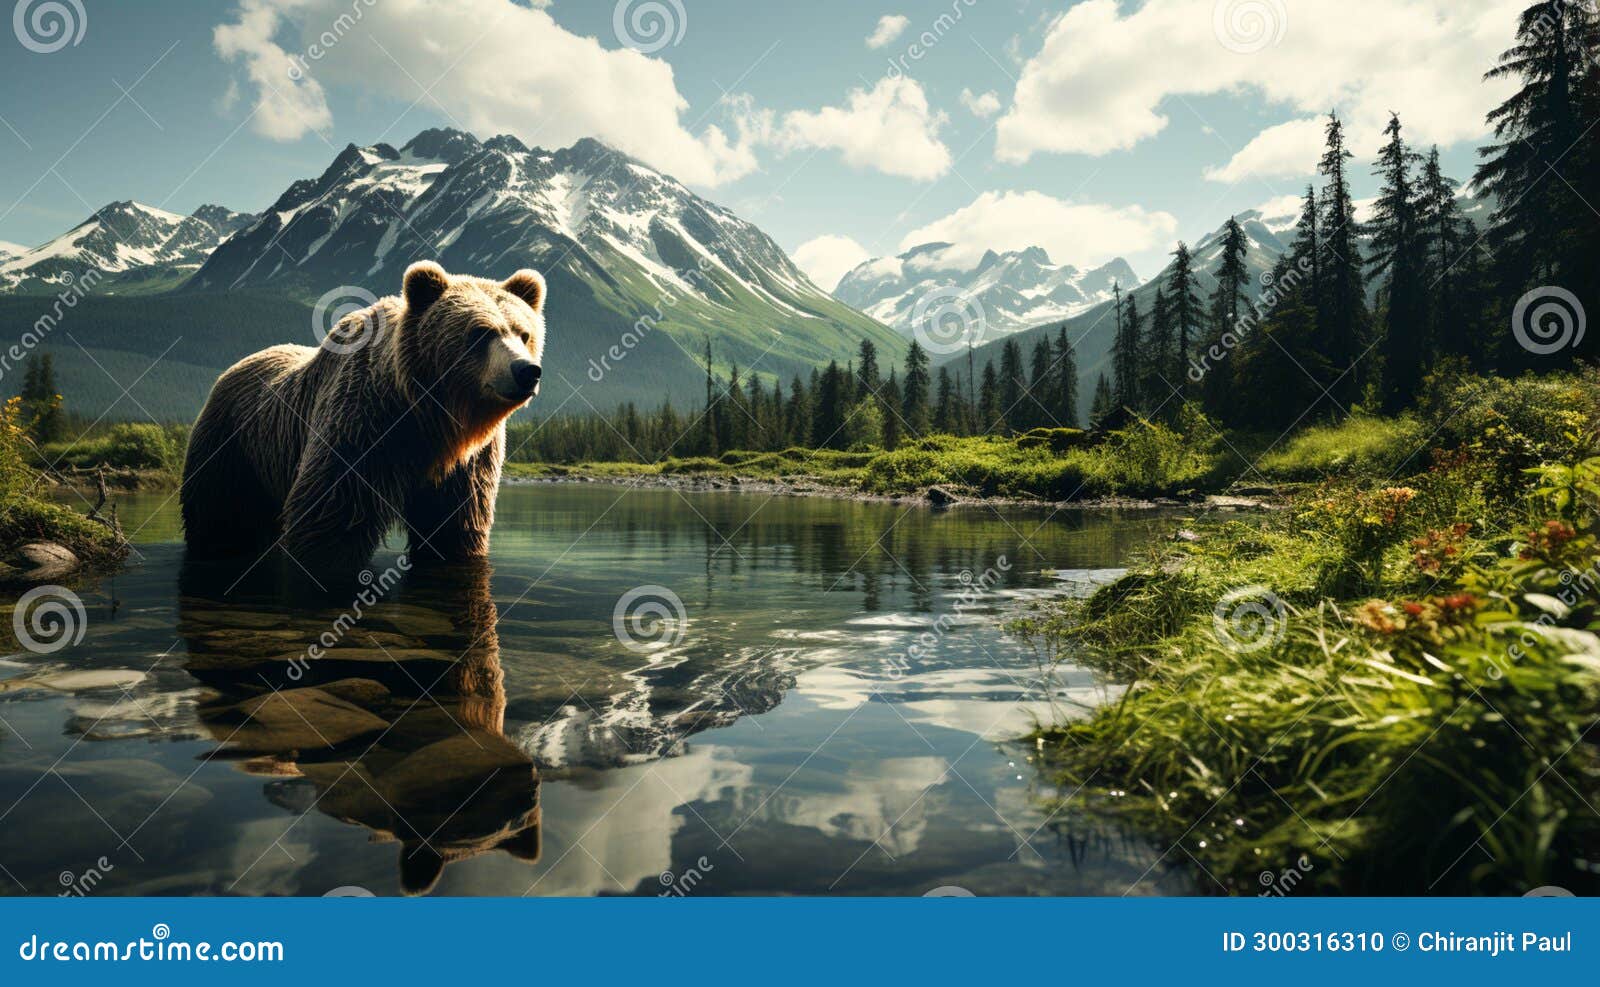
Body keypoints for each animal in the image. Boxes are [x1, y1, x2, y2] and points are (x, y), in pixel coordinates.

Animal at [180, 261, 546, 577]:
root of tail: (232, 368)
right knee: (219, 517)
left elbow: (452, 525)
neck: (430, 413)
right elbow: (331, 518)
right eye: (482, 332)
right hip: (231, 448)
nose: (526, 370)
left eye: (523, 333)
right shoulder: (364, 426)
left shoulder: (466, 463)